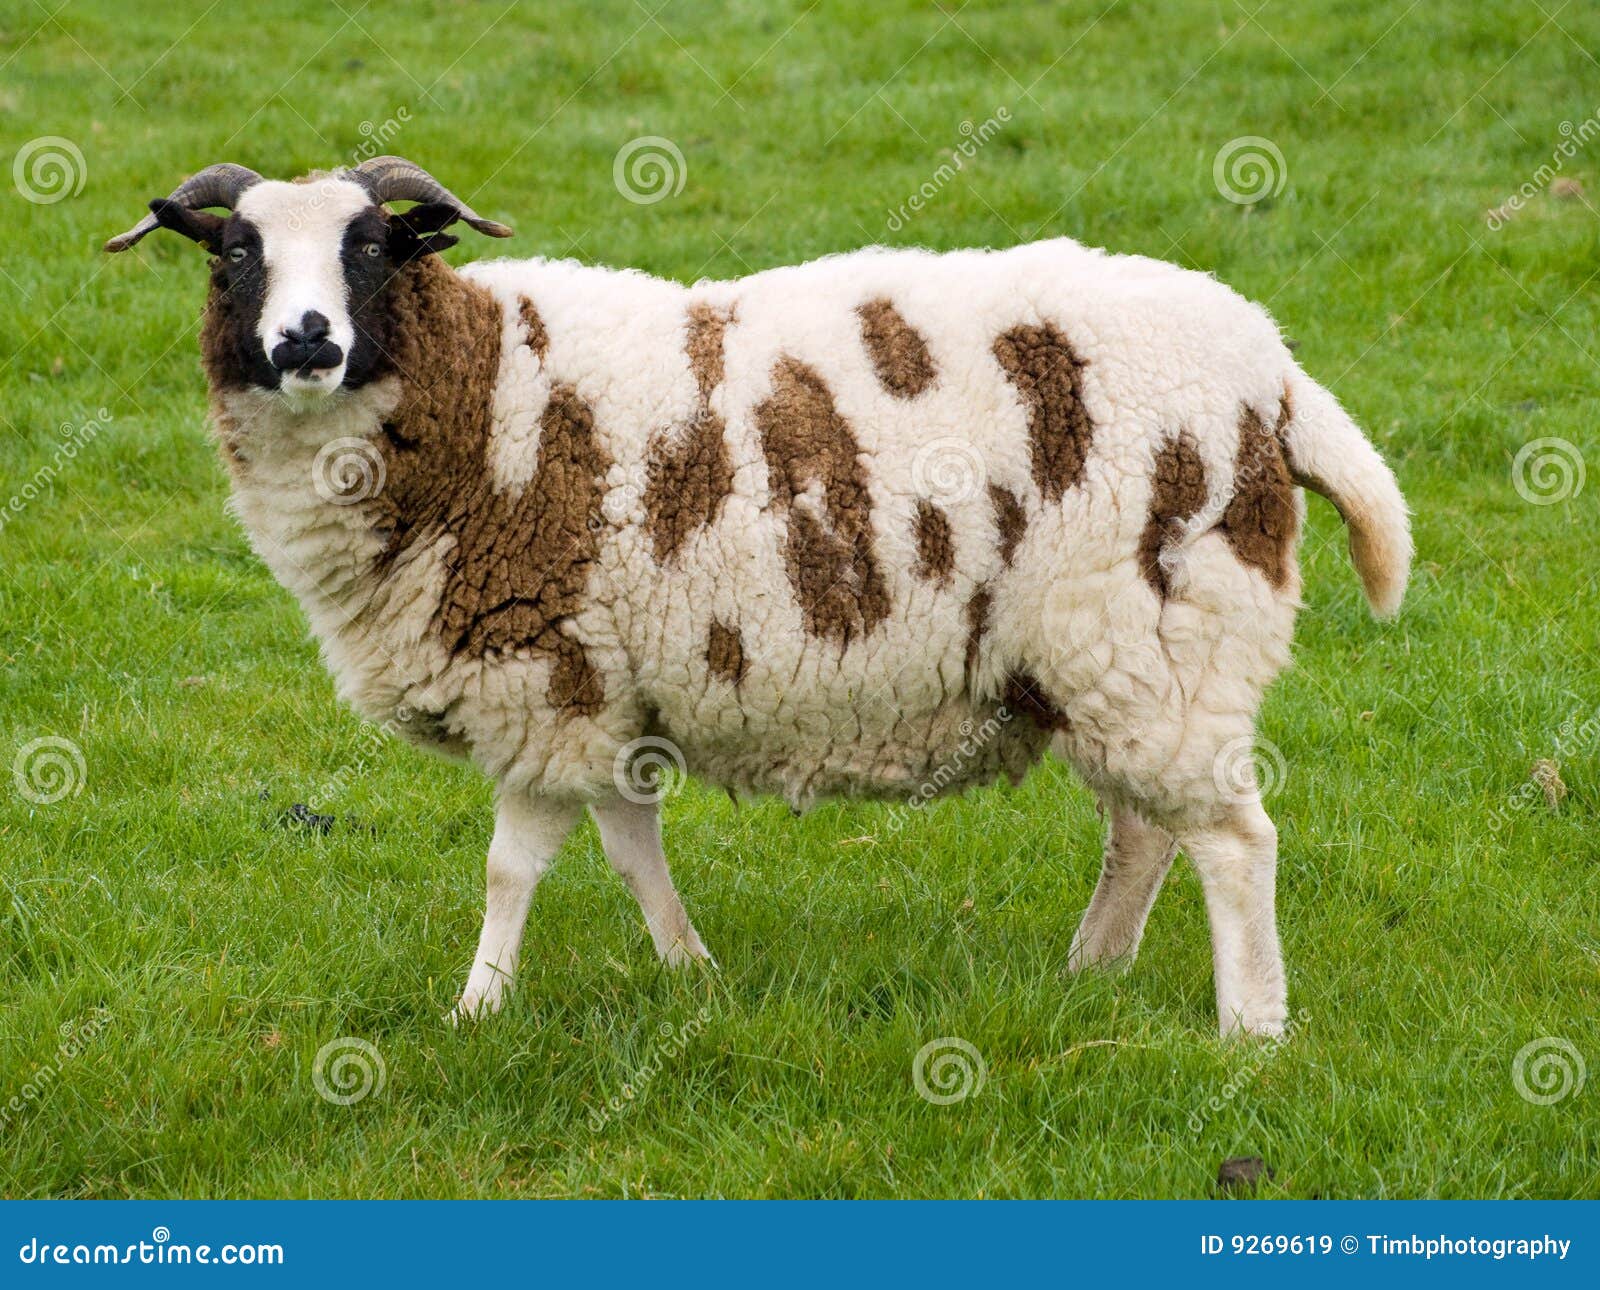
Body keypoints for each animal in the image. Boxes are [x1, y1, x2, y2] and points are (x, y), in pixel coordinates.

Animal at [106, 156, 1411, 1036]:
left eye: (374, 247)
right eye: (235, 254)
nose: (306, 341)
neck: (477, 392)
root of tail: (1275, 373)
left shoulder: (537, 672)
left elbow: (511, 866)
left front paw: (477, 1009)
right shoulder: (601, 682)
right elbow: (629, 844)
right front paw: (691, 973)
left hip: (1157, 629)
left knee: (1232, 839)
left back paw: (1251, 1029)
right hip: (1104, 652)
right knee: (1144, 828)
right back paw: (1090, 971)